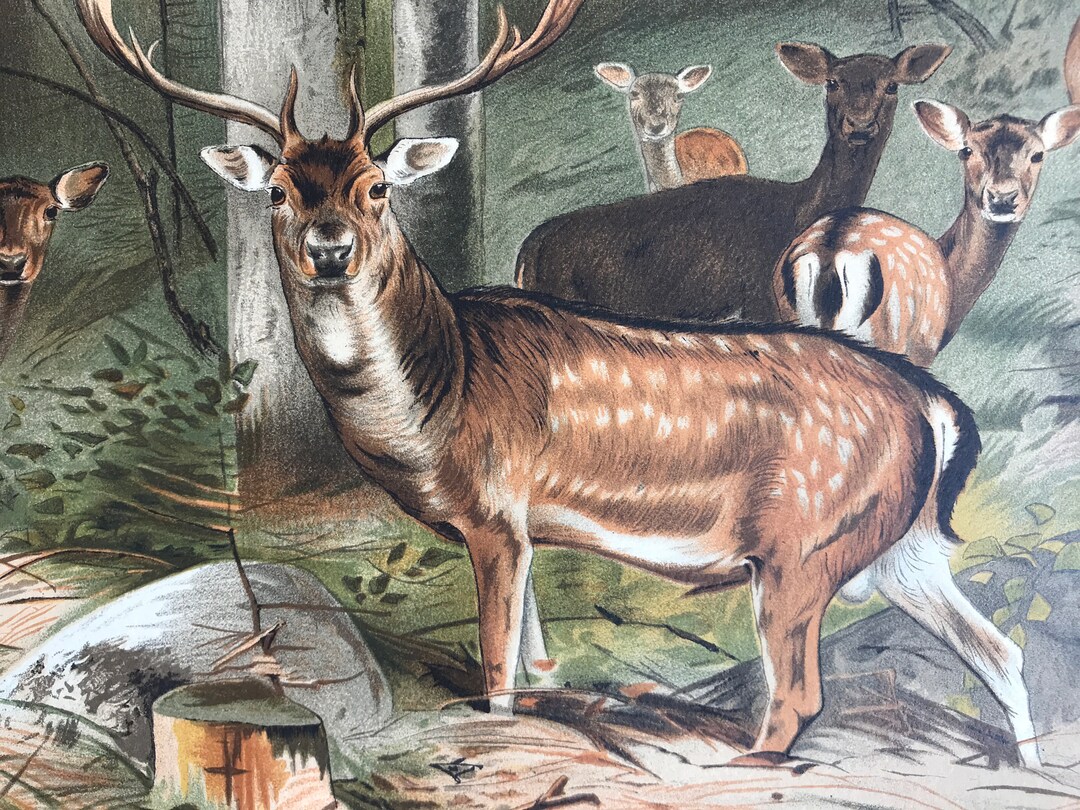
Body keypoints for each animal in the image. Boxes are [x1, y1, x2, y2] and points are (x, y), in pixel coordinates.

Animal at [772, 101, 1080, 367]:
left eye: (1038, 154)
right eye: (966, 150)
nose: (1002, 198)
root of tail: (830, 251)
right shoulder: (924, 349)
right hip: (888, 336)